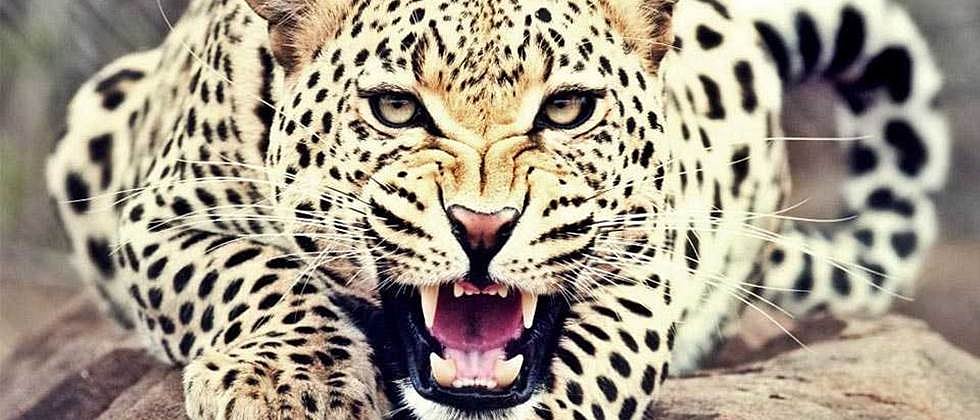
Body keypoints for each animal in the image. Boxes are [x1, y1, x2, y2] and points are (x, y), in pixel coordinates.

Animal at [46, 0, 950, 418]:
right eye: (397, 109)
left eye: (568, 110)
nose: (482, 227)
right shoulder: (158, 214)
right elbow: (256, 273)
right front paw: (289, 383)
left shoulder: (644, 262)